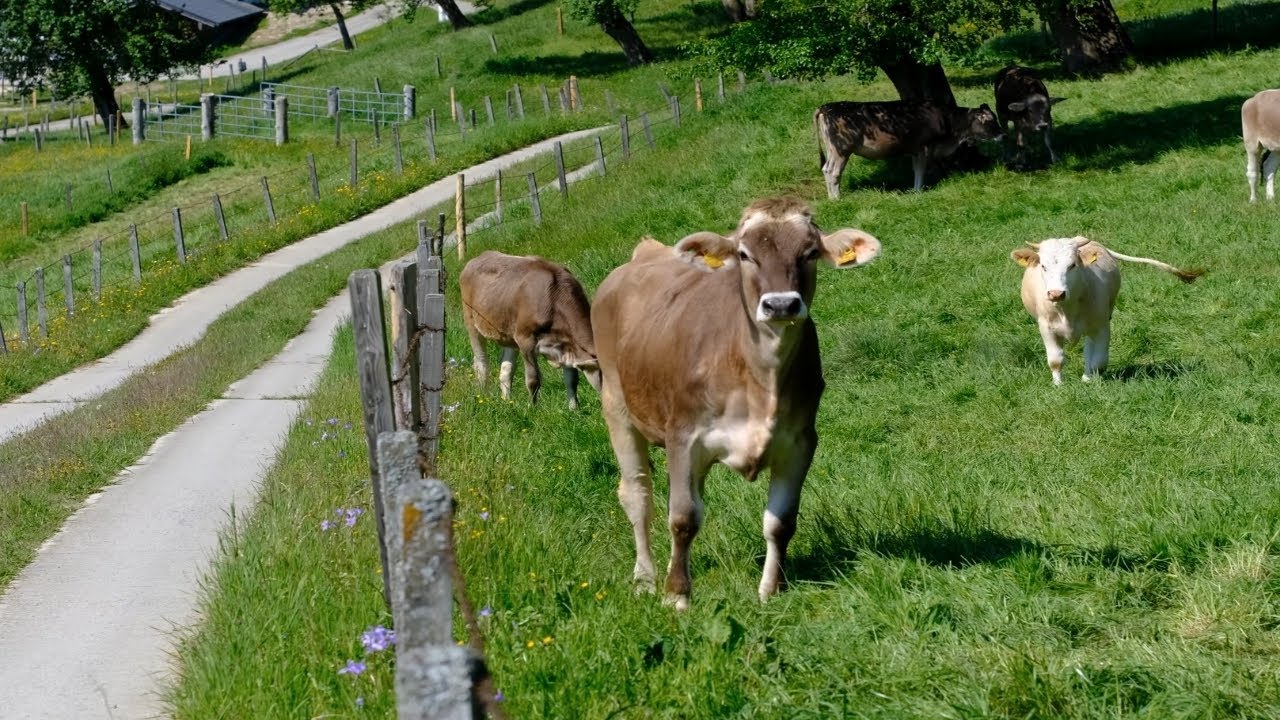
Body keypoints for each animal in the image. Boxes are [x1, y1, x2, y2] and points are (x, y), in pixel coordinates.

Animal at [459, 251, 602, 410]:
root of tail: (480, 257)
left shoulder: (567, 345)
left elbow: (572, 379)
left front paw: (574, 408)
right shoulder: (525, 340)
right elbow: (533, 379)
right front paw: (533, 408)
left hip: (508, 335)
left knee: (506, 370)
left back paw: (507, 401)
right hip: (471, 323)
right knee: (481, 363)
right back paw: (483, 395)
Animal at [591, 197, 882, 610]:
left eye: (809, 253)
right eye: (745, 254)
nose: (781, 304)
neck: (761, 377)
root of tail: (646, 252)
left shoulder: (800, 443)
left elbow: (780, 522)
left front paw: (771, 590)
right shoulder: (683, 437)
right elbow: (682, 518)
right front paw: (676, 595)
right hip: (617, 406)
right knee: (637, 494)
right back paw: (645, 577)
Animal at [815, 100, 1003, 197]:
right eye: (990, 120)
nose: (1003, 135)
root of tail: (826, 106)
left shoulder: (915, 149)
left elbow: (916, 169)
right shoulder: (924, 147)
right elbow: (920, 170)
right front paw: (919, 190)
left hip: (832, 150)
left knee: (825, 169)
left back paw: (831, 198)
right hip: (841, 149)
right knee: (833, 172)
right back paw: (837, 198)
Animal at [1010, 237, 1203, 386]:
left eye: (1072, 265)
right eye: (1043, 266)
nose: (1056, 293)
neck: (1067, 310)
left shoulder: (1102, 326)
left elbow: (1099, 361)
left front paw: (1092, 381)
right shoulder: (1046, 328)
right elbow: (1055, 361)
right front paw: (1058, 386)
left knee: (1089, 350)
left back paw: (1087, 376)